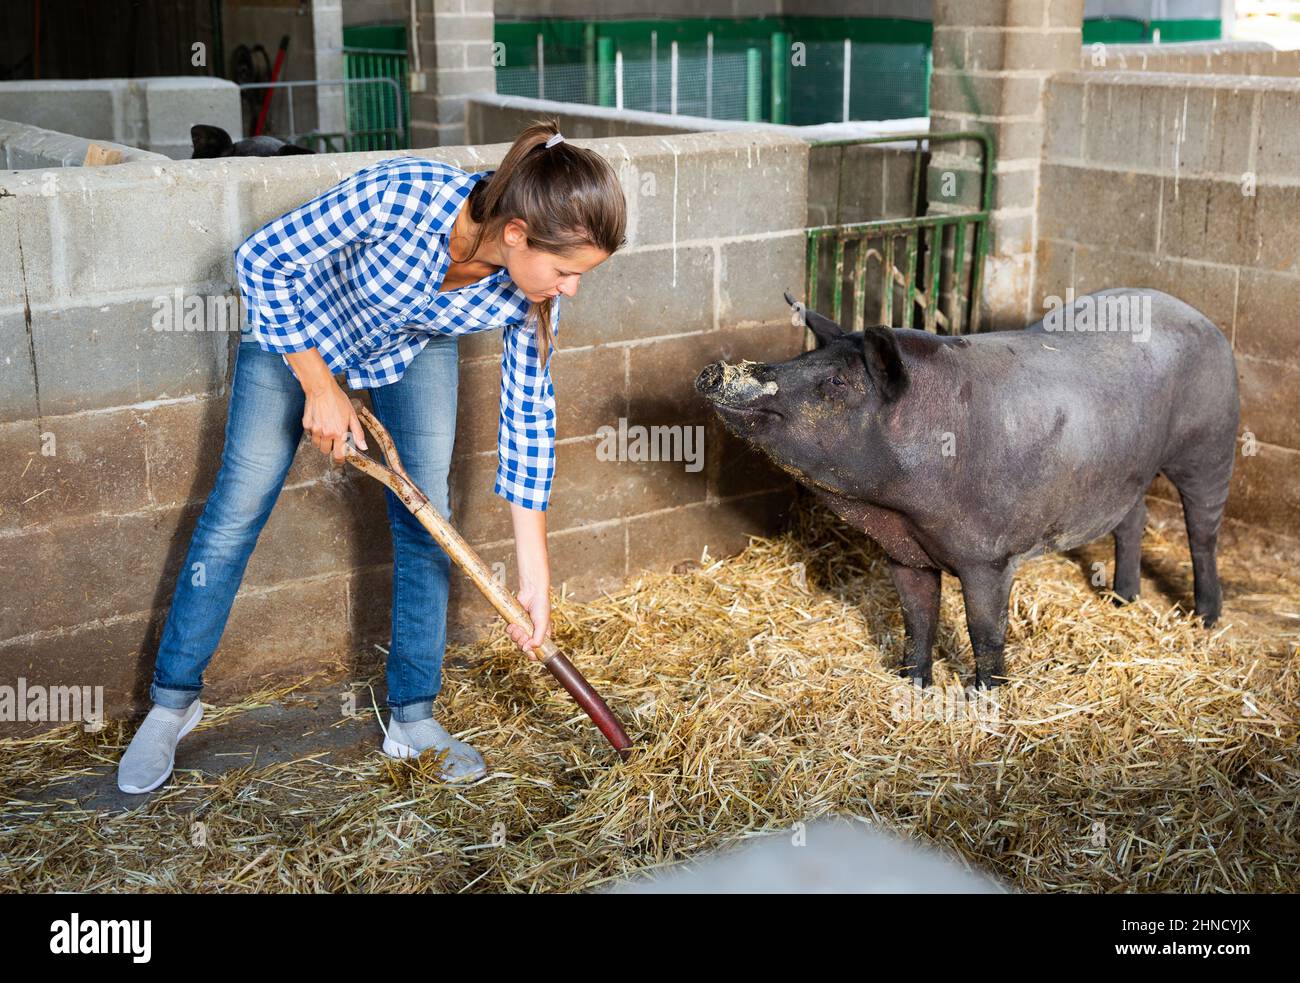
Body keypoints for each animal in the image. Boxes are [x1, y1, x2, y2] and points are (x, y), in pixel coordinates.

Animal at [694, 288, 1239, 688]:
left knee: (1202, 532)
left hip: (1211, 445)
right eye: (805, 354)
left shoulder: (989, 557)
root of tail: (1200, 317)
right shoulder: (906, 555)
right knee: (1134, 519)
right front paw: (913, 683)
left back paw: (1206, 620)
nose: (715, 369)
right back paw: (1124, 602)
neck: (898, 511)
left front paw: (986, 693)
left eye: (835, 382)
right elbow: (917, 618)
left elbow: (985, 630)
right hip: (1127, 472)